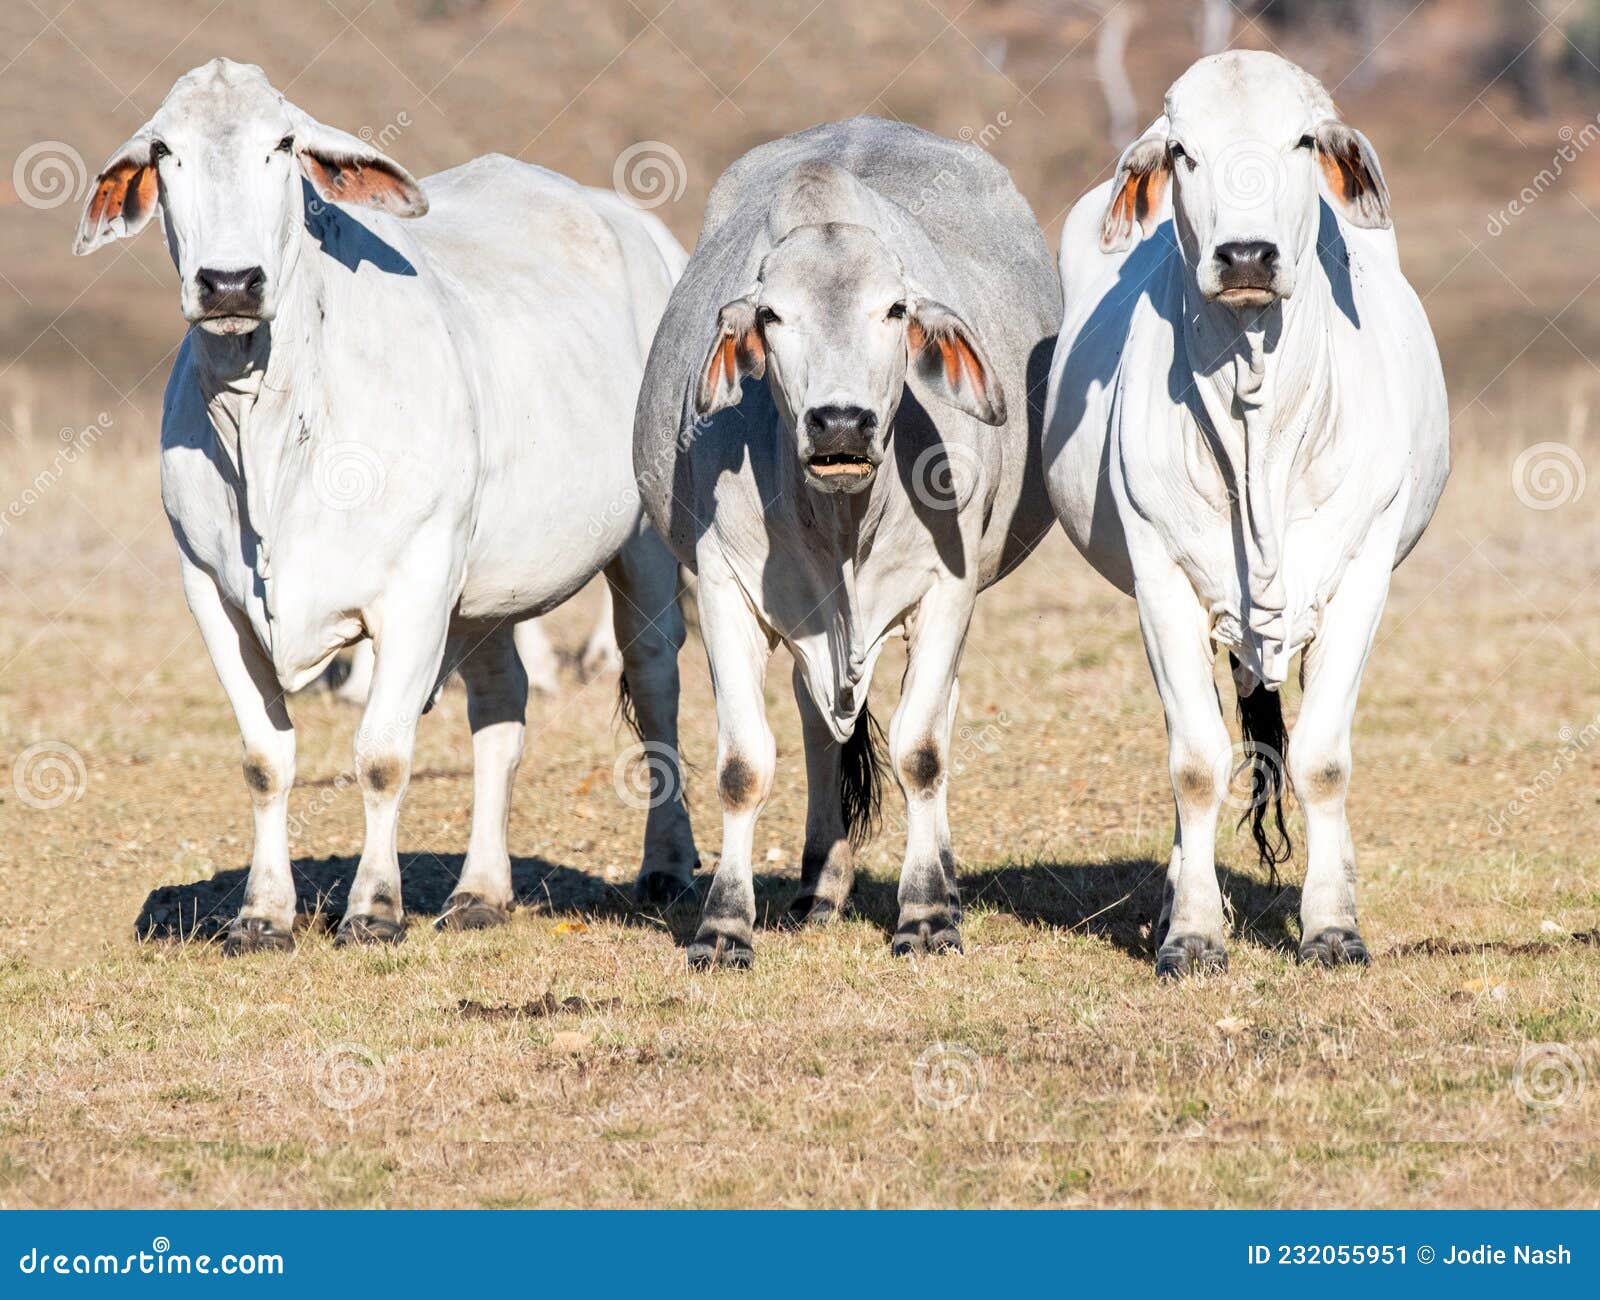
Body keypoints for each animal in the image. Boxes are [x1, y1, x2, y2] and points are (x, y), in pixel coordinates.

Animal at [74, 59, 699, 951]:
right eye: (164, 150)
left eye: (284, 144)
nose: (229, 283)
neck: (271, 431)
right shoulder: (212, 593)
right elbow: (265, 759)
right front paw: (262, 913)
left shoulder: (415, 585)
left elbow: (381, 754)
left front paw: (373, 907)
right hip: (485, 593)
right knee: (500, 713)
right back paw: (480, 891)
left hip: (642, 548)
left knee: (654, 683)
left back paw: (668, 866)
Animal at [635, 118, 1060, 967]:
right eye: (771, 316)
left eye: (894, 309)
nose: (838, 423)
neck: (842, 519)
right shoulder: (726, 589)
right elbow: (742, 766)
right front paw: (723, 927)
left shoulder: (947, 589)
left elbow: (922, 751)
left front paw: (927, 915)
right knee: (815, 725)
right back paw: (818, 886)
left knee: (933, 719)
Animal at [1042, 51, 1449, 977]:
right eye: (1183, 152)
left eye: (1301, 140)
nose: (1247, 255)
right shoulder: (1160, 580)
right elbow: (1195, 764)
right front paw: (1191, 934)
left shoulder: (1362, 574)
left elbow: (1324, 760)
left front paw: (1333, 927)